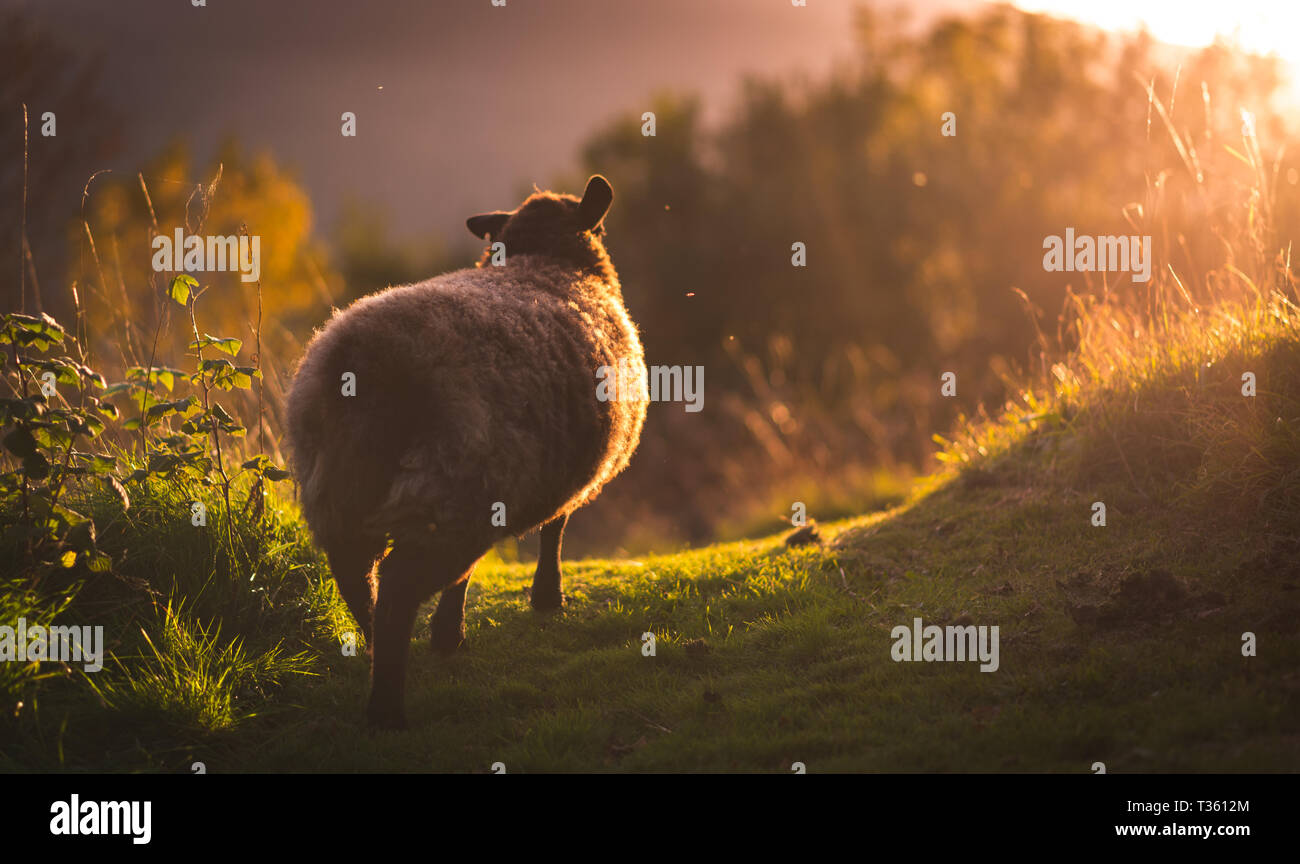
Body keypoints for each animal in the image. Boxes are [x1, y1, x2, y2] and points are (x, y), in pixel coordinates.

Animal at [286, 175, 647, 729]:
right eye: (601, 228)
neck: (546, 259)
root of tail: (364, 364)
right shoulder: (539, 481)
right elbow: (552, 531)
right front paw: (543, 599)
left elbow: (477, 567)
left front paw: (448, 634)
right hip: (446, 487)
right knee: (397, 589)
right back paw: (387, 708)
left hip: (343, 490)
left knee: (356, 579)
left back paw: (376, 657)